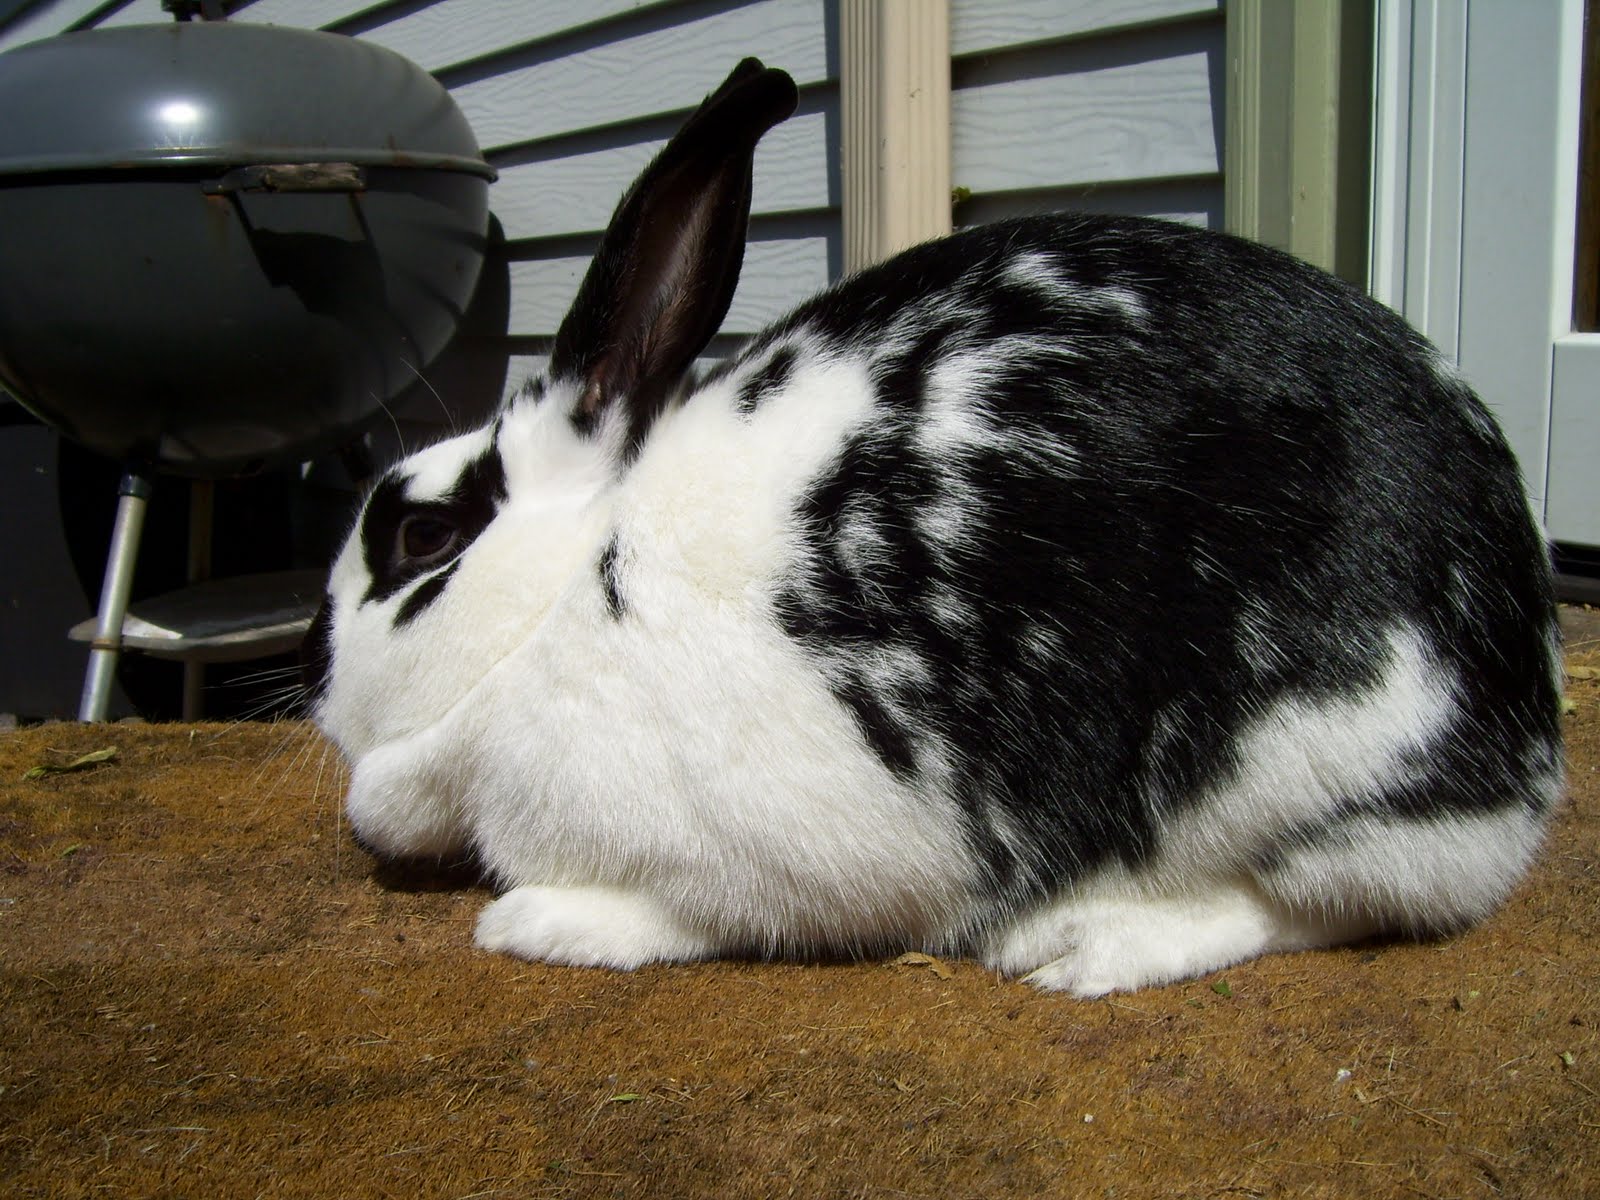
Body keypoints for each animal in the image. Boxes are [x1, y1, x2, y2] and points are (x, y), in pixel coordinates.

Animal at [302, 58, 1564, 997]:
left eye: (417, 539)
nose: (316, 674)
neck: (560, 599)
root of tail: (1531, 736)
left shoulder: (771, 853)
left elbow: (687, 912)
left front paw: (538, 923)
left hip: (1320, 778)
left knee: (1310, 906)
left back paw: (1085, 944)